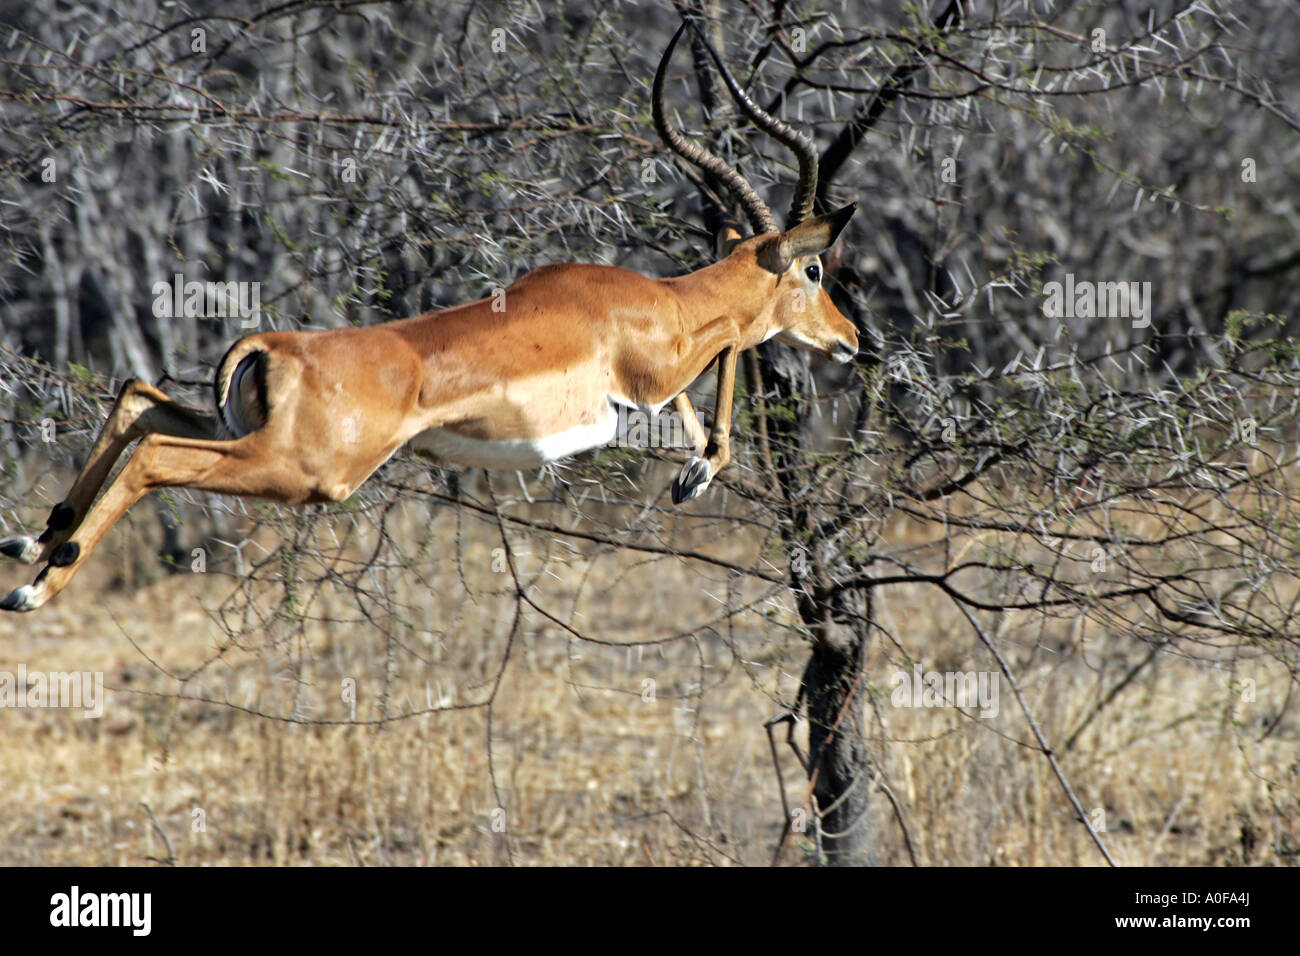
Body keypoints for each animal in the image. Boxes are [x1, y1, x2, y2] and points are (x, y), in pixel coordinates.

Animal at [0, 21, 857, 612]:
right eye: (815, 269)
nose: (851, 341)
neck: (664, 301)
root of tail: (273, 343)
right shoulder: (657, 369)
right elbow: (731, 351)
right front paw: (701, 468)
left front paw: (692, 471)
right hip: (303, 470)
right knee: (154, 455)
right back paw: (35, 587)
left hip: (240, 429)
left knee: (139, 402)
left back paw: (28, 541)